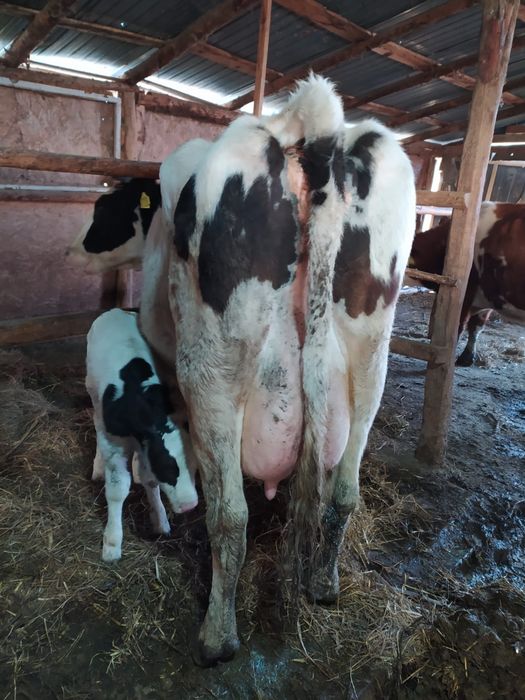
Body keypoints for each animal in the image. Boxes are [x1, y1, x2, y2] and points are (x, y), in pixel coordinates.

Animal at [85, 308, 198, 562]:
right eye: (167, 468)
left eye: (196, 468)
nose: (190, 505)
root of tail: (115, 310)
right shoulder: (114, 442)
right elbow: (117, 489)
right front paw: (112, 543)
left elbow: (149, 480)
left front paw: (160, 519)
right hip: (92, 391)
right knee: (96, 421)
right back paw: (97, 467)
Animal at [134, 74, 416, 665]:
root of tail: (312, 129)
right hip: (372, 351)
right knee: (343, 490)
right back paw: (324, 586)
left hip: (212, 367)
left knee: (230, 516)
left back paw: (217, 637)